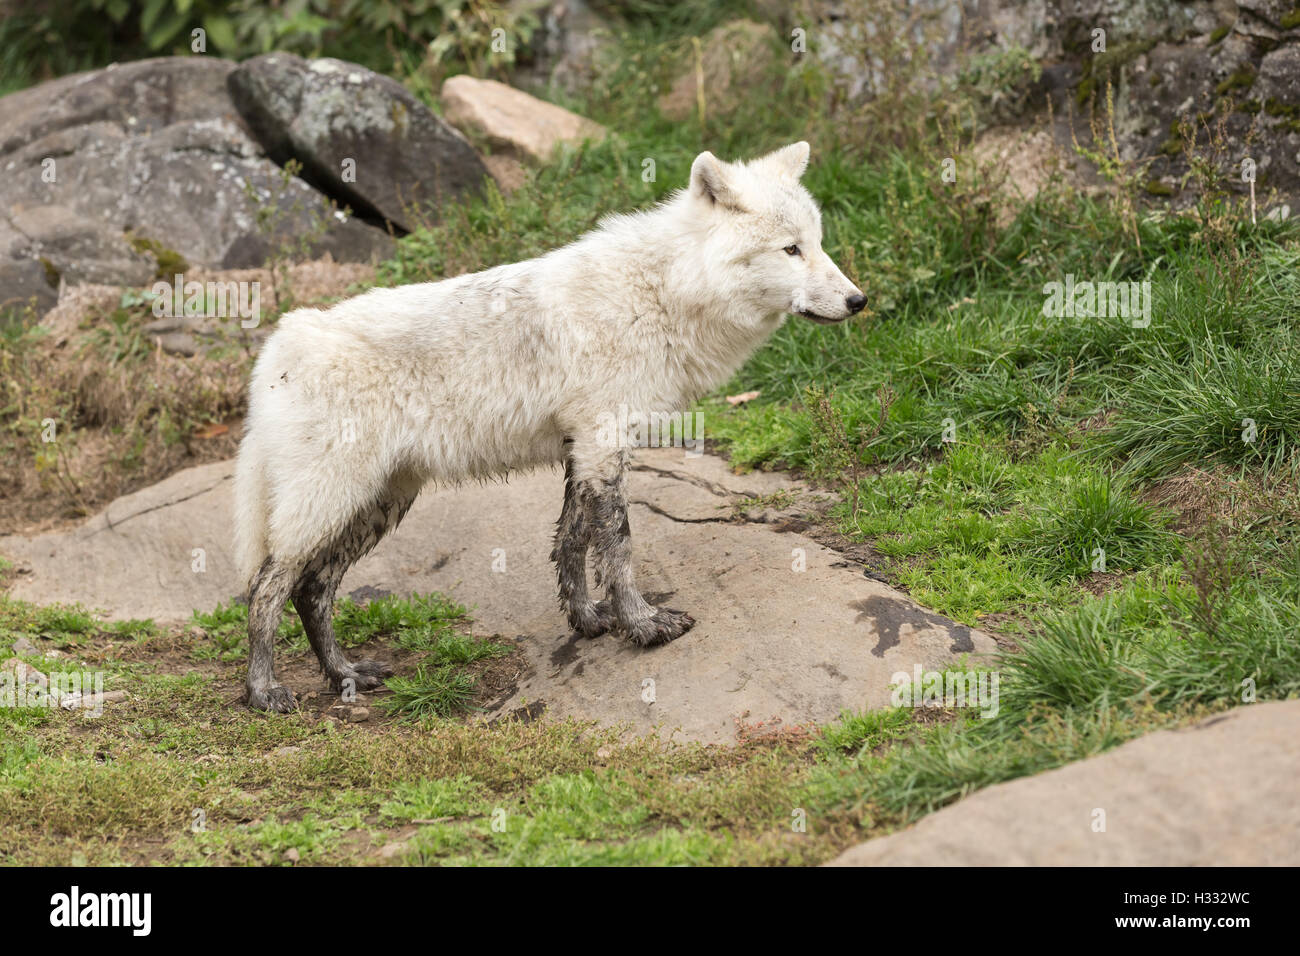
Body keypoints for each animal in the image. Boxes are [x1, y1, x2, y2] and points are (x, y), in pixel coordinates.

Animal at [233, 141, 865, 711]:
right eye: (790, 249)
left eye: (818, 243)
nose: (859, 301)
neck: (663, 290)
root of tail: (277, 347)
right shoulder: (604, 444)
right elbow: (619, 549)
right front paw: (644, 626)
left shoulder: (581, 449)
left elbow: (571, 541)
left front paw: (586, 621)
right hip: (332, 501)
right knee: (265, 589)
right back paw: (263, 692)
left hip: (381, 502)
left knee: (312, 590)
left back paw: (344, 675)